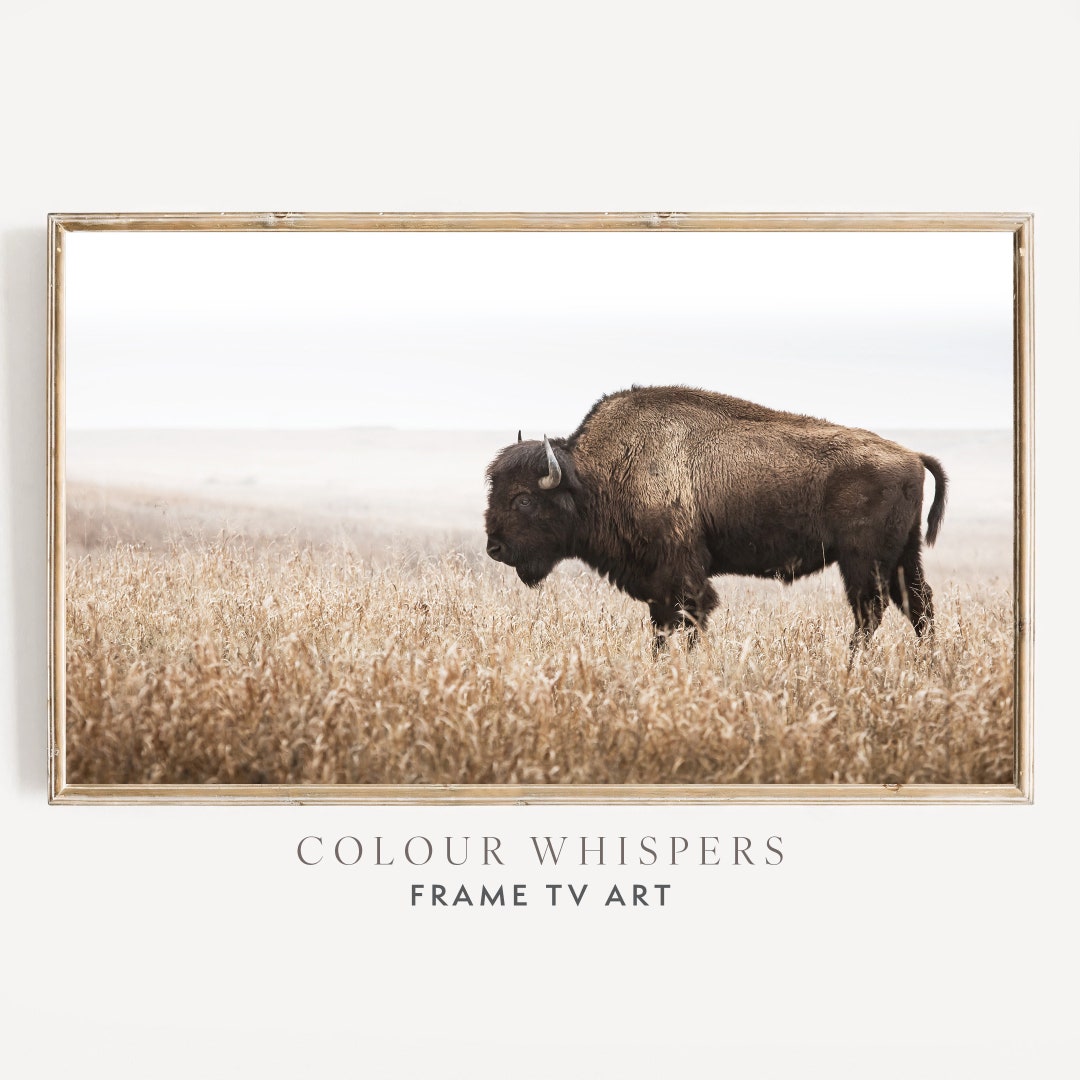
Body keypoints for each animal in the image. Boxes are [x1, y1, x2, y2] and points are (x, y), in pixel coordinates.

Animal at [484, 385, 947, 650]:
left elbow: (688, 619)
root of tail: (911, 455)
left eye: (523, 499)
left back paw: (852, 664)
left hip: (862, 561)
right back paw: (927, 663)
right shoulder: (658, 585)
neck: (594, 475)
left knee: (871, 612)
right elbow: (662, 628)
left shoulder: (682, 576)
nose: (494, 548)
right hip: (903, 557)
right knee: (918, 606)